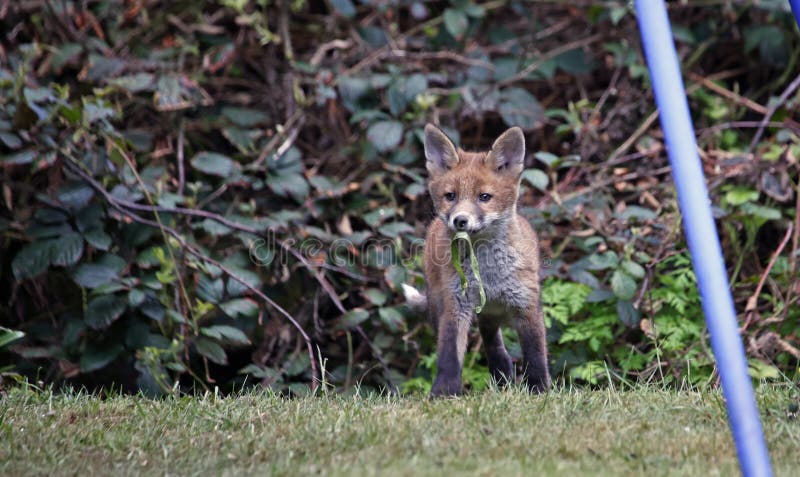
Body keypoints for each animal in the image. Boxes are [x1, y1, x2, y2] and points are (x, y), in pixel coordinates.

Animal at [402, 124, 550, 397]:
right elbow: (449, 355)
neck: (488, 272)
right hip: (444, 307)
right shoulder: (456, 306)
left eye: (484, 197)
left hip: (492, 313)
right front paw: (444, 393)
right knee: (492, 345)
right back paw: (501, 376)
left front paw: (539, 390)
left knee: (493, 343)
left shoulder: (526, 305)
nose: (460, 220)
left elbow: (535, 354)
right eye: (451, 196)